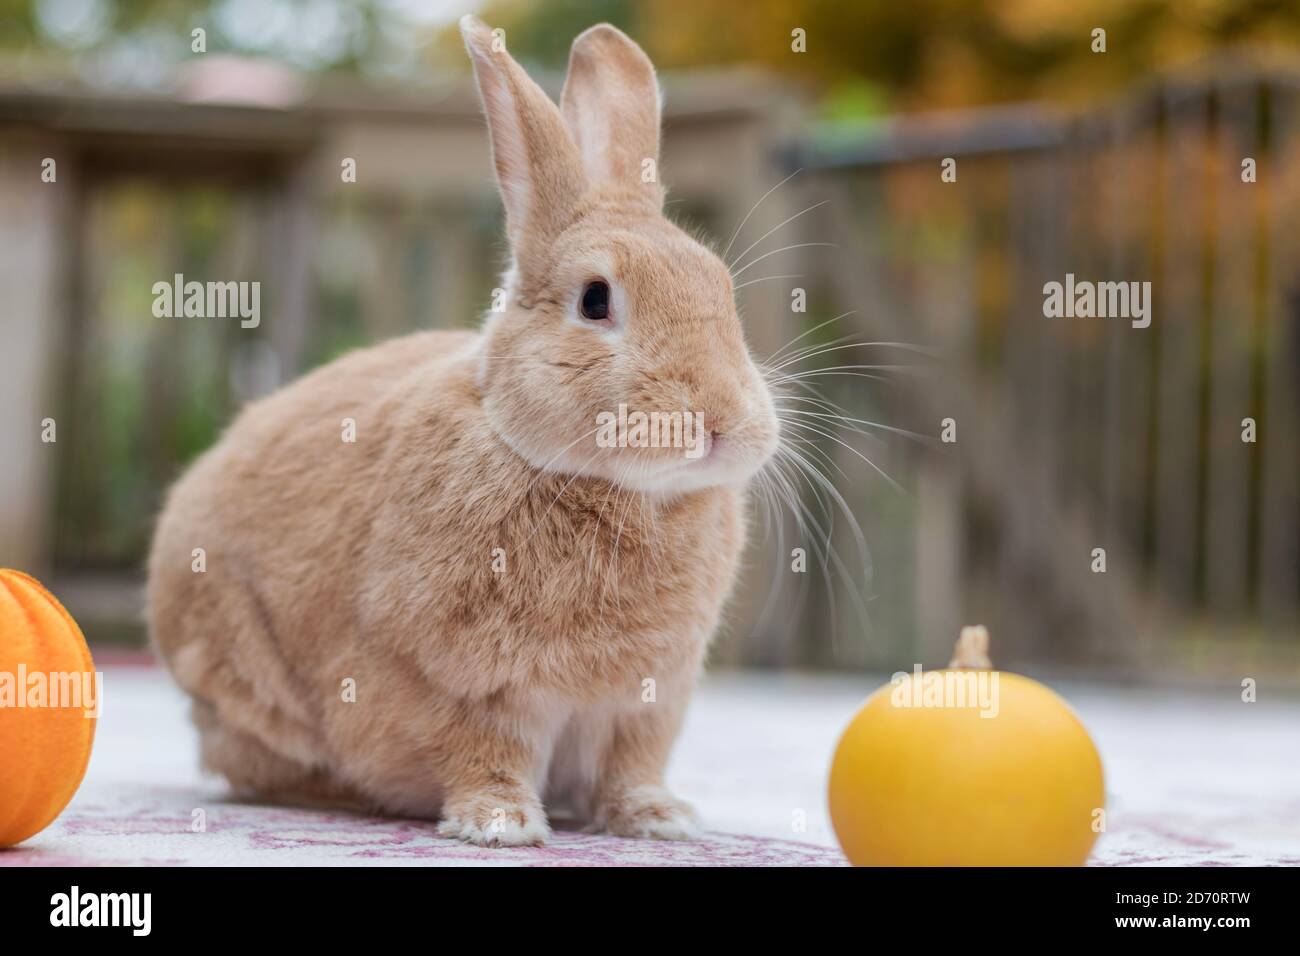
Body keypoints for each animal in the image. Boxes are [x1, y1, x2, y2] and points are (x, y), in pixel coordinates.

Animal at [146, 15, 780, 847]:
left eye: (721, 287)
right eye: (596, 299)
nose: (719, 421)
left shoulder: (646, 704)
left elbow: (632, 766)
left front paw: (659, 819)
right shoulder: (462, 687)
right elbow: (484, 754)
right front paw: (501, 824)